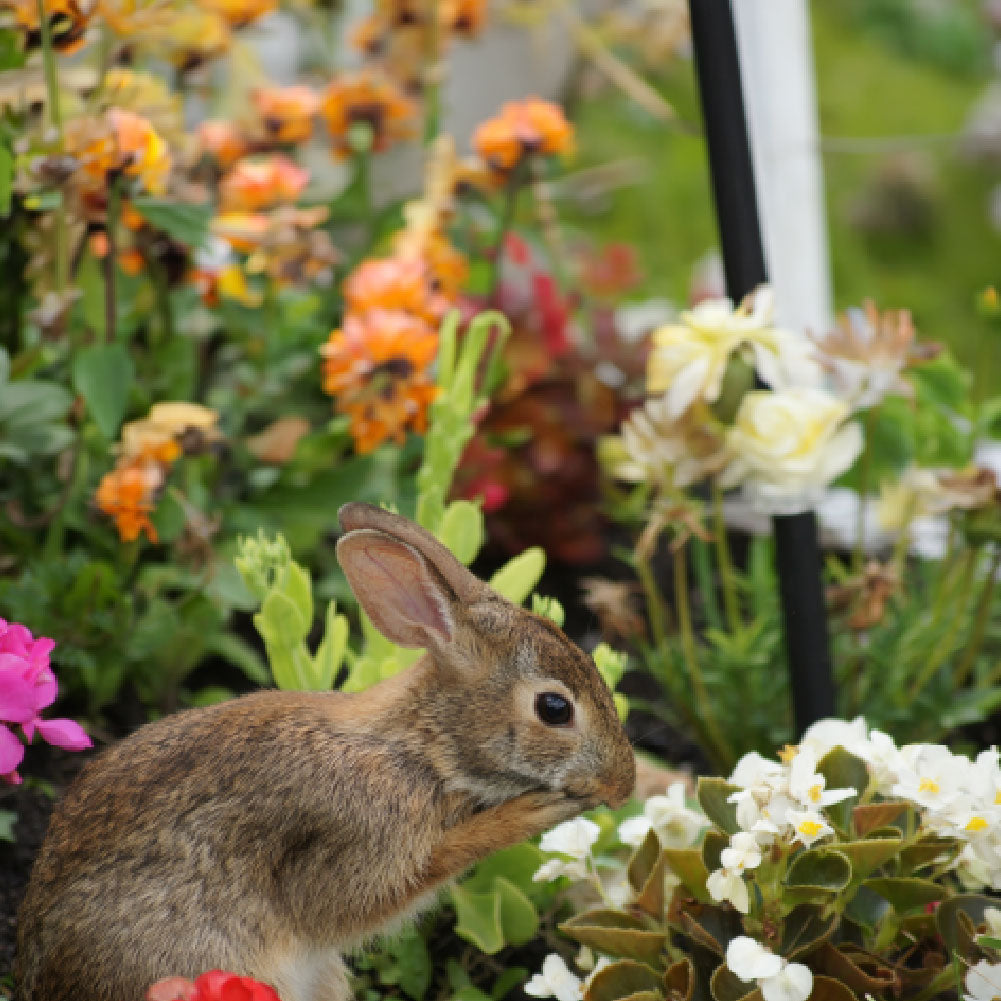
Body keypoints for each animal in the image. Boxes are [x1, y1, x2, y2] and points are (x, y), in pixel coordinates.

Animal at [15, 502, 635, 1001]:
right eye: (554, 708)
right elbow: (403, 875)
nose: (623, 784)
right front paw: (528, 814)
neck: (423, 749)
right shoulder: (355, 841)